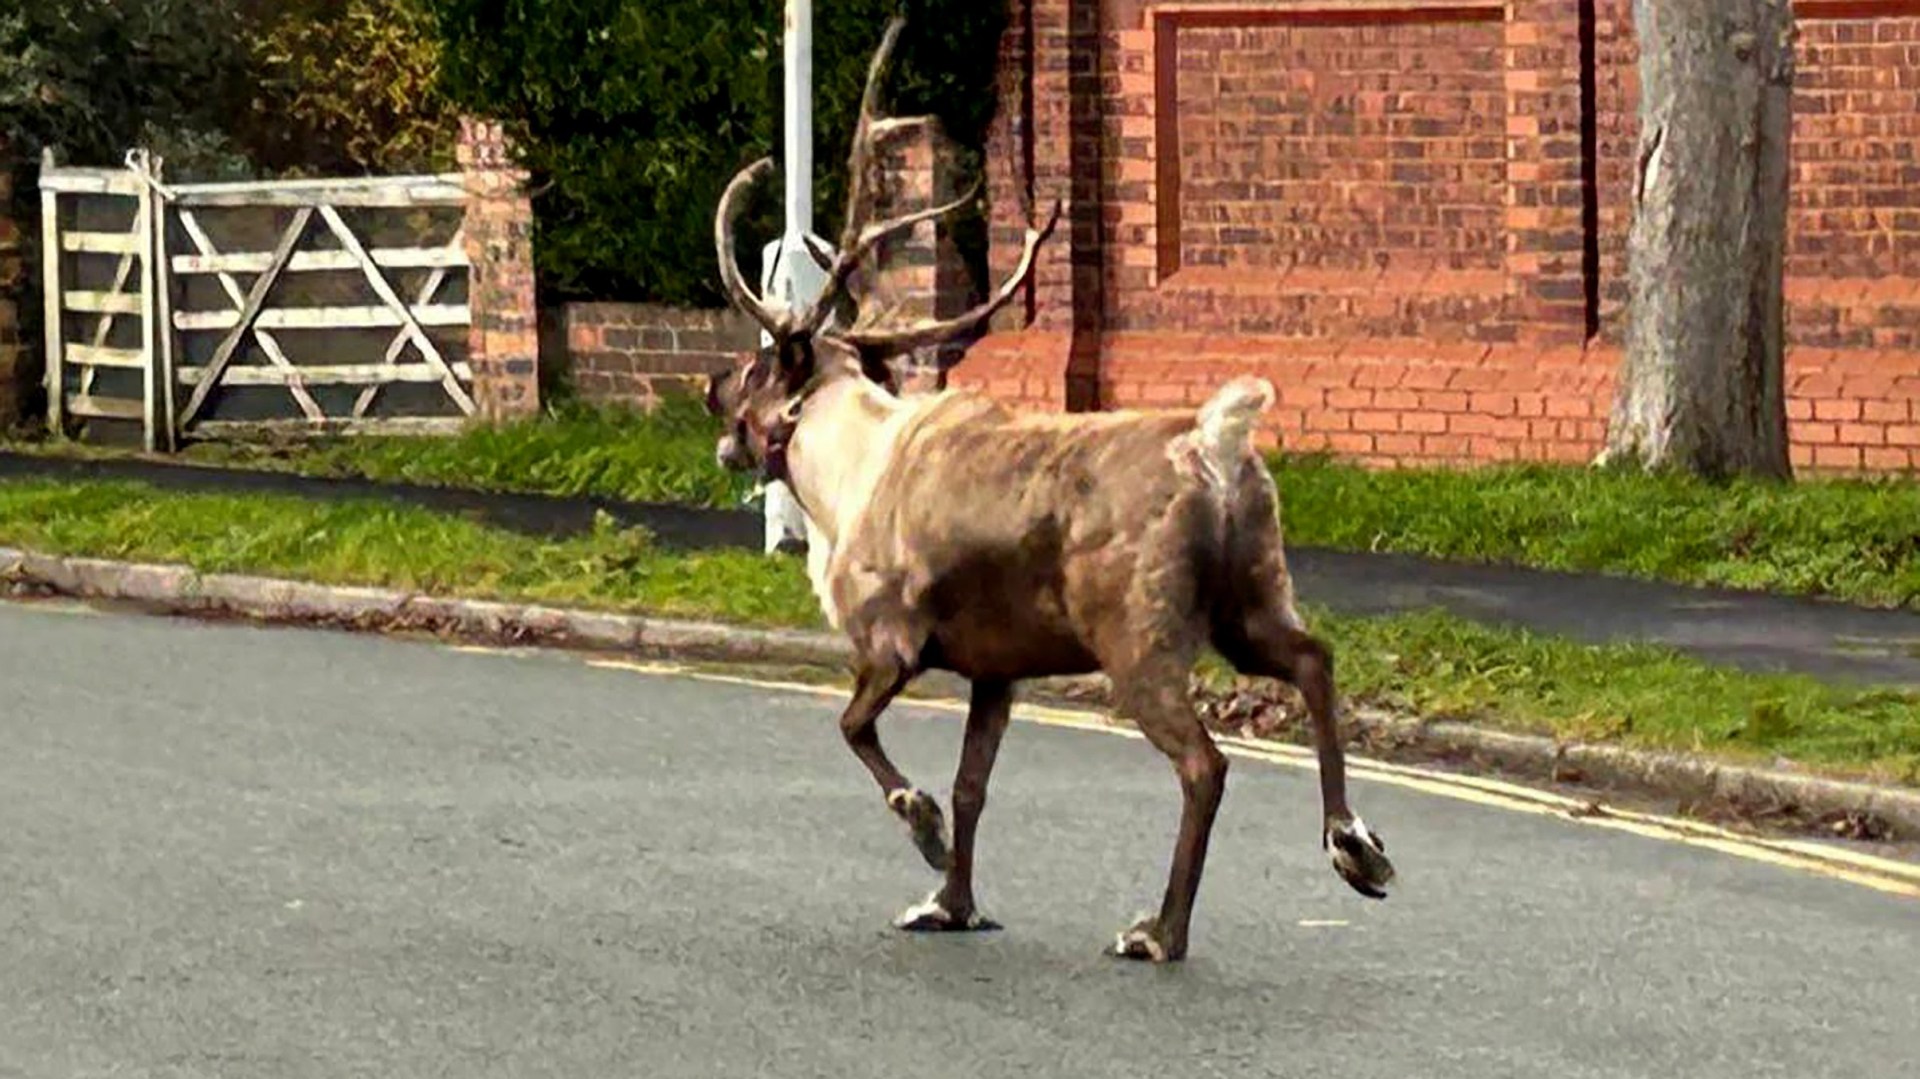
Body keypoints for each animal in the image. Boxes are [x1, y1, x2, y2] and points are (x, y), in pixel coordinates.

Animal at [701, 17, 1394, 963]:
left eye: (762, 362)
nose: (709, 390)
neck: (839, 471)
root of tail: (1217, 444)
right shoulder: (998, 668)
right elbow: (972, 785)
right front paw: (951, 901)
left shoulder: (891, 641)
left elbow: (855, 730)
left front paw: (921, 830)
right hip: (1249, 597)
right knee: (1316, 661)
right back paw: (1354, 845)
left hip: (1138, 637)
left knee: (1205, 763)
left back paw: (1161, 929)